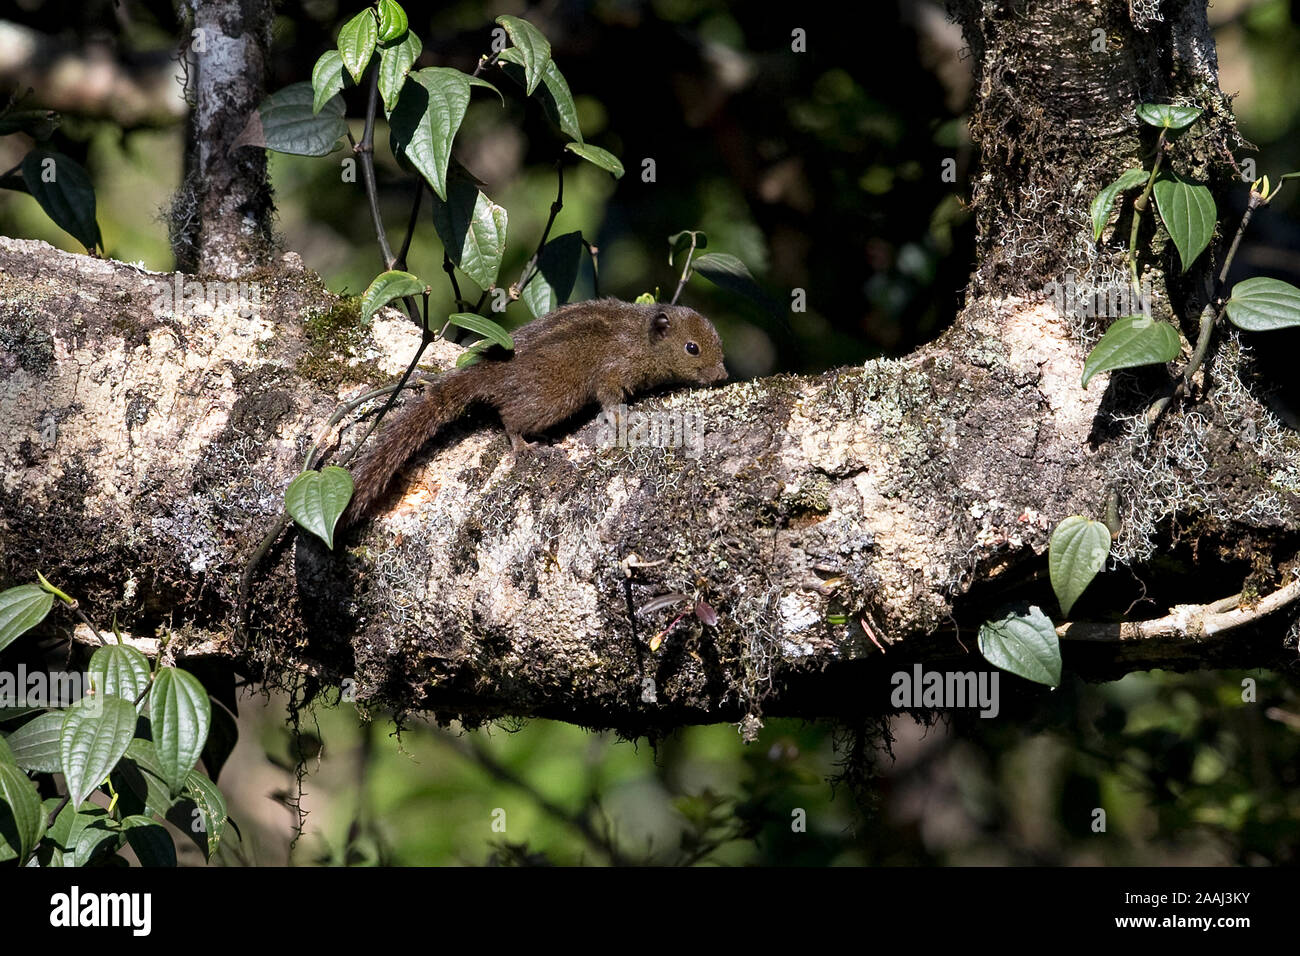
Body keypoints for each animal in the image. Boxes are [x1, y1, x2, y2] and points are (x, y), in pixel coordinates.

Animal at [343, 297, 727, 523]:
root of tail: (491, 372)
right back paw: (524, 445)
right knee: (510, 420)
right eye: (692, 348)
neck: (641, 338)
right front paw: (625, 418)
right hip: (551, 398)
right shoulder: (613, 371)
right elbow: (609, 399)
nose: (722, 375)